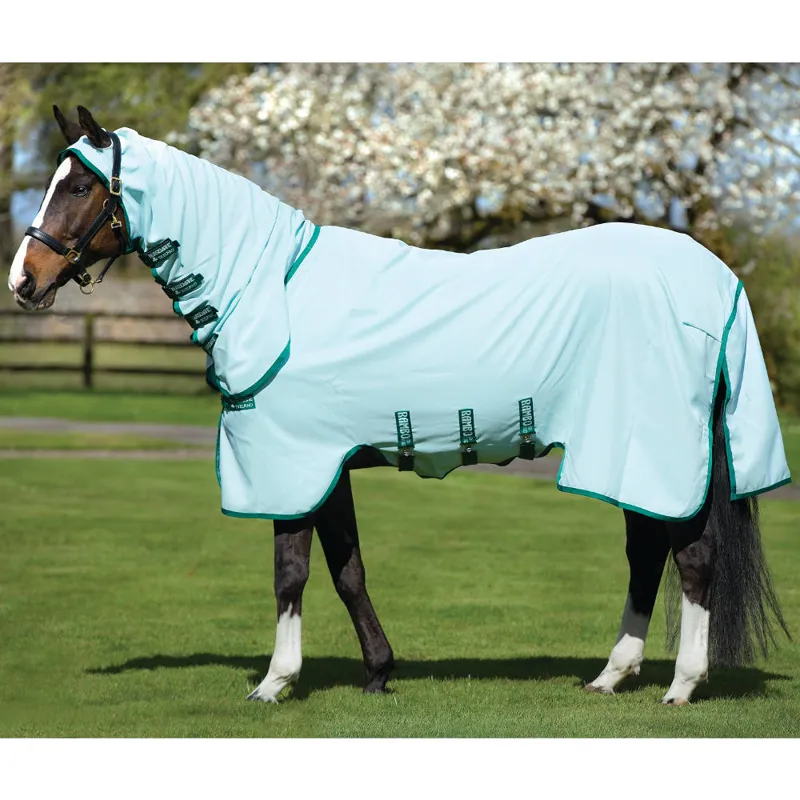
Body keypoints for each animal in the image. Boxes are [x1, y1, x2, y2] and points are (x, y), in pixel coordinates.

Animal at [8, 105, 790, 706]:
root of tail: (715, 279)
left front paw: (274, 683)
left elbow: (291, 572)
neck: (272, 291)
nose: (24, 279)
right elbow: (347, 570)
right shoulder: (330, 467)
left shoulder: (293, 462)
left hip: (648, 448)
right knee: (646, 555)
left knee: (691, 559)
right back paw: (611, 676)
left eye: (78, 185)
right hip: (629, 454)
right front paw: (379, 672)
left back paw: (681, 685)